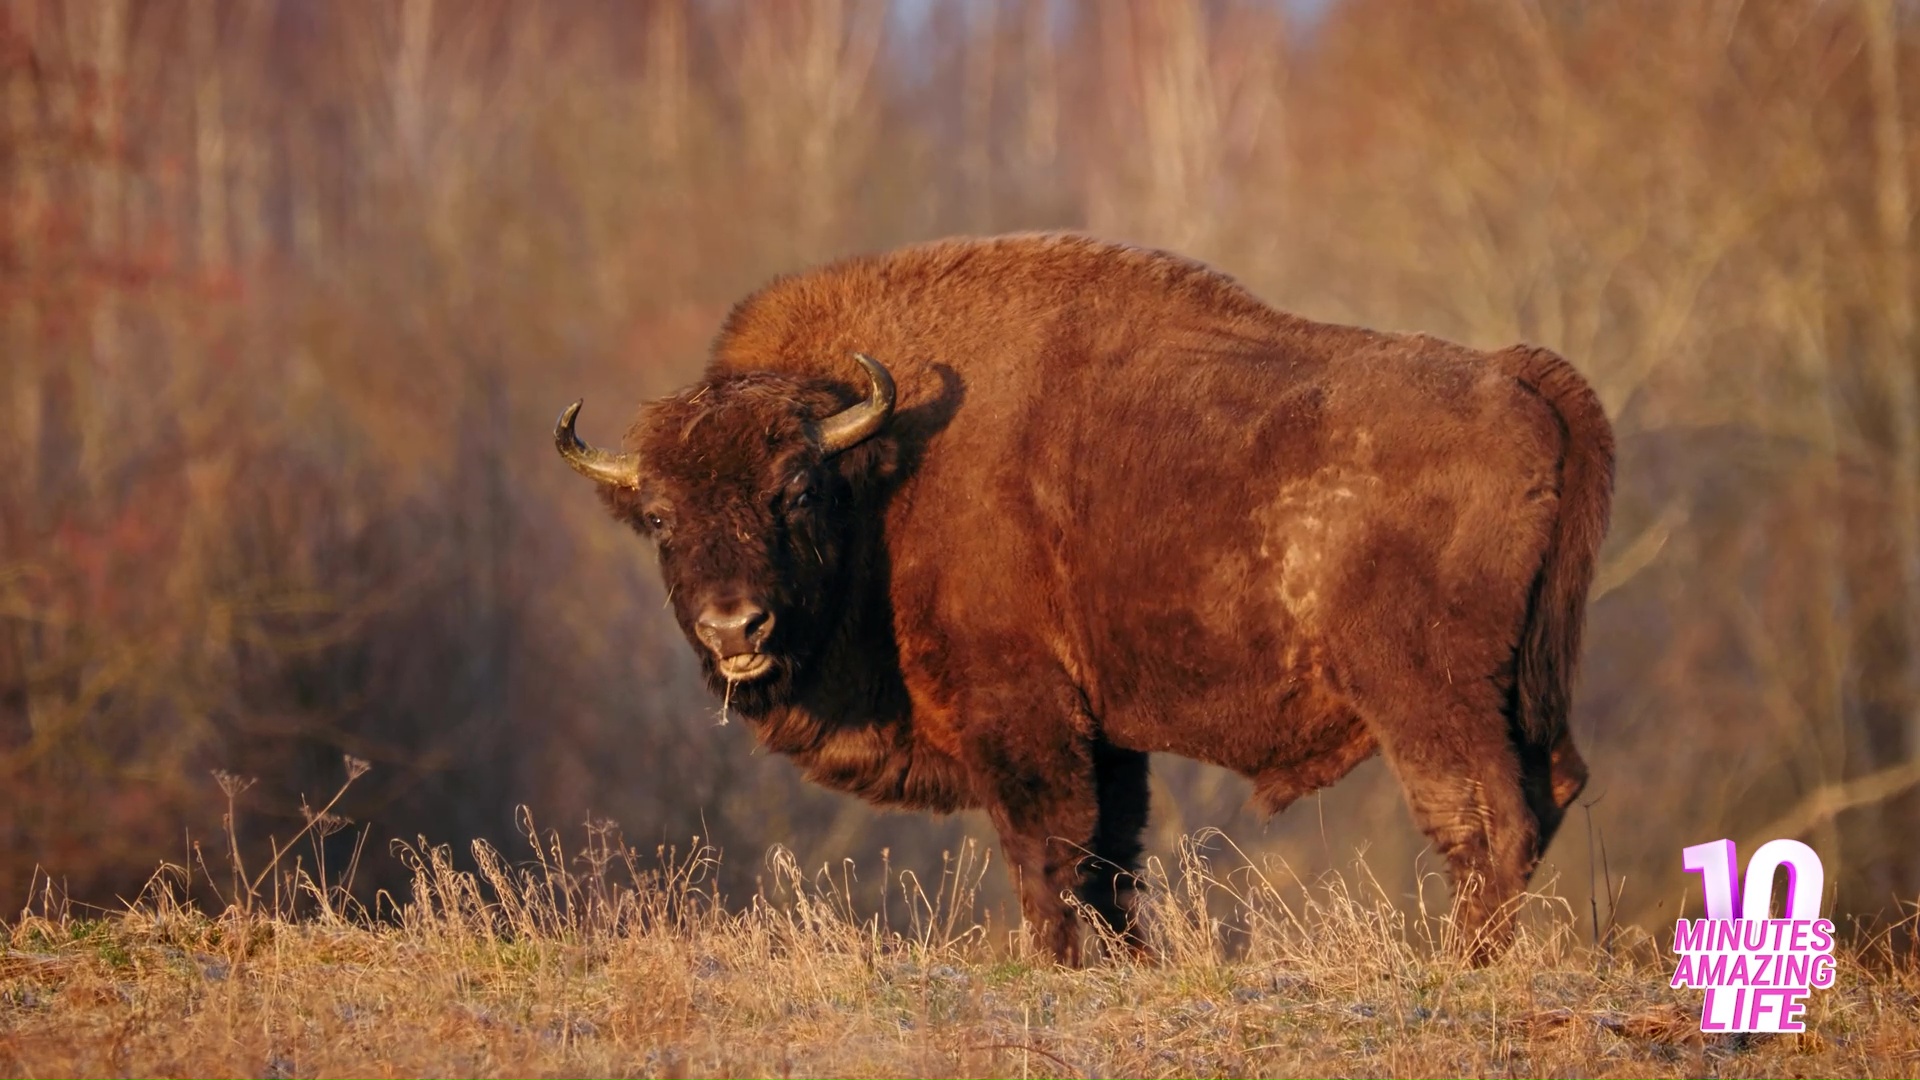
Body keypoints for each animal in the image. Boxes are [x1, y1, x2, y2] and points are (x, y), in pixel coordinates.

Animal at [556, 232, 1613, 965]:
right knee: (1548, 789)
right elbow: (1109, 858)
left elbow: (1050, 851)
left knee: (1488, 819)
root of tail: (1513, 377)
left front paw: (1059, 967)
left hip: (1427, 694)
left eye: (799, 490)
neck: (888, 475)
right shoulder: (1106, 735)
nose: (736, 625)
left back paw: (1459, 968)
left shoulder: (1020, 714)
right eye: (660, 516)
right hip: (1519, 686)